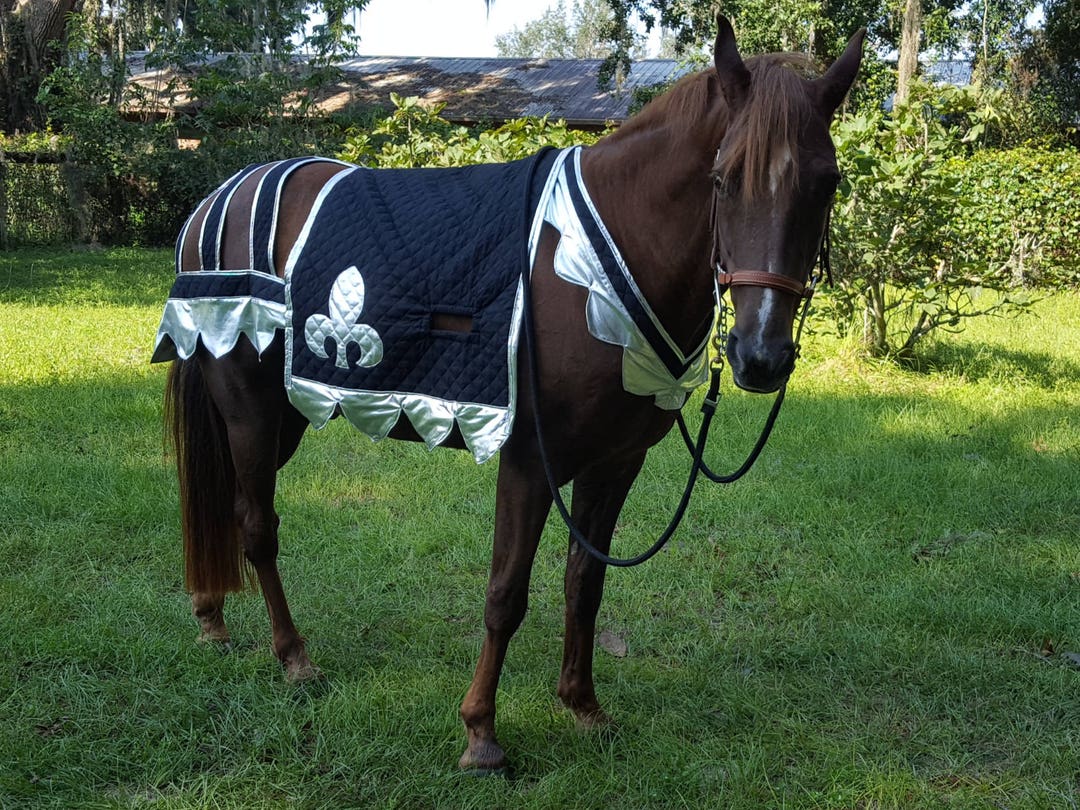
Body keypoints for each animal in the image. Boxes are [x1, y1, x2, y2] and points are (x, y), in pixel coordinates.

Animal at [155, 15, 864, 772]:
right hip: (251, 410)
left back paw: (212, 615)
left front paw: (582, 705)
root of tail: (216, 201)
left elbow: (585, 583)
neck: (605, 257)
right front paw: (481, 732)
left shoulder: (615, 462)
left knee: (224, 505)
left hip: (280, 416)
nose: (761, 355)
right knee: (256, 524)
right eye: (723, 180)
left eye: (828, 182)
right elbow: (506, 593)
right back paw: (293, 657)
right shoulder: (529, 459)